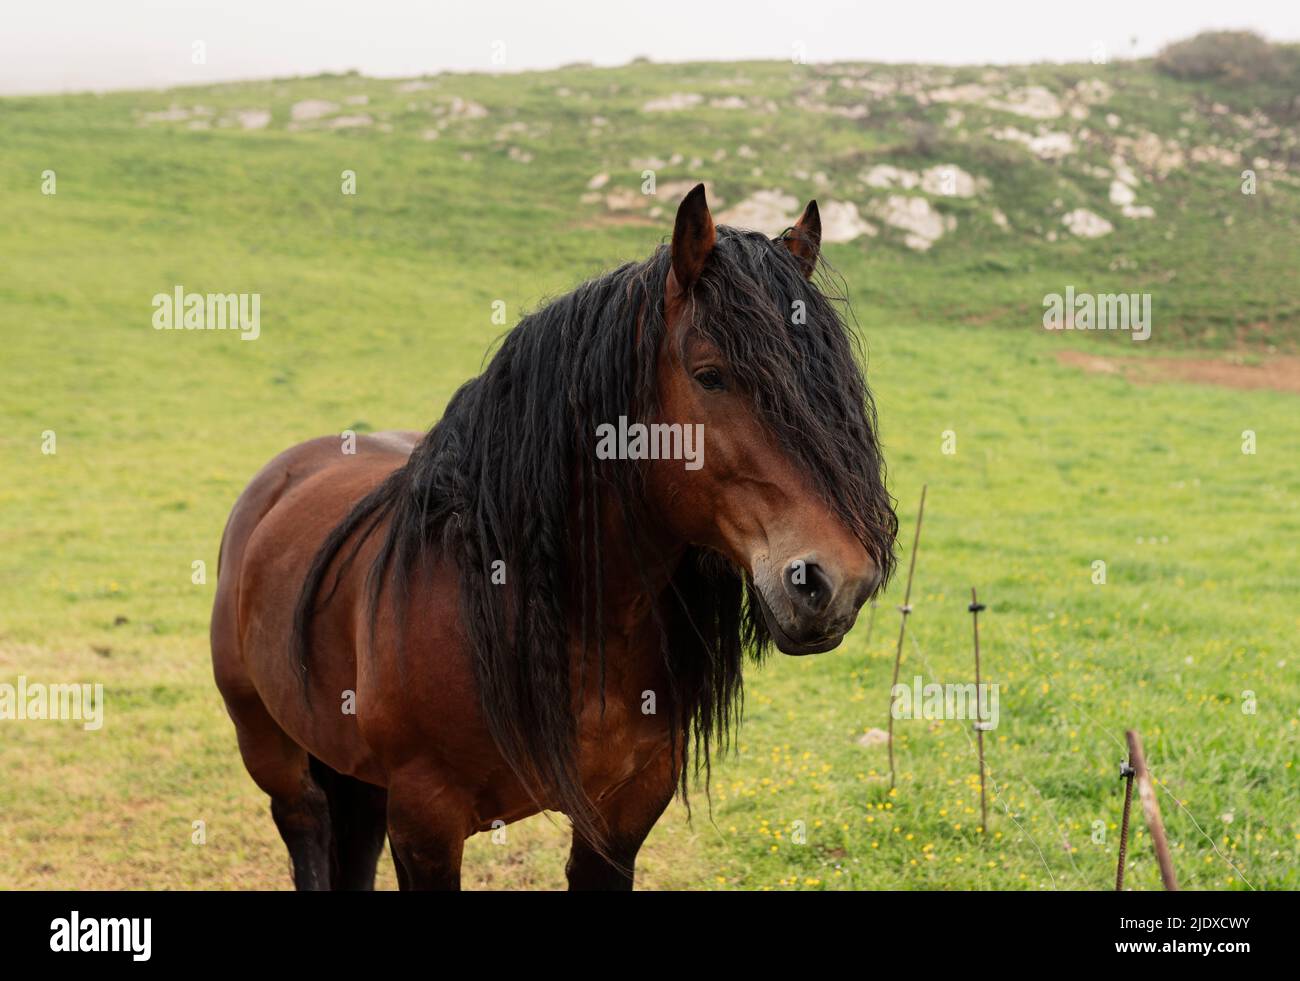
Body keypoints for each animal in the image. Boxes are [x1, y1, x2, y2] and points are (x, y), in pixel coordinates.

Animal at [209, 184, 898, 890]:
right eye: (710, 375)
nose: (838, 581)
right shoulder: (425, 821)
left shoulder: (622, 814)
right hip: (270, 749)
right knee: (306, 826)